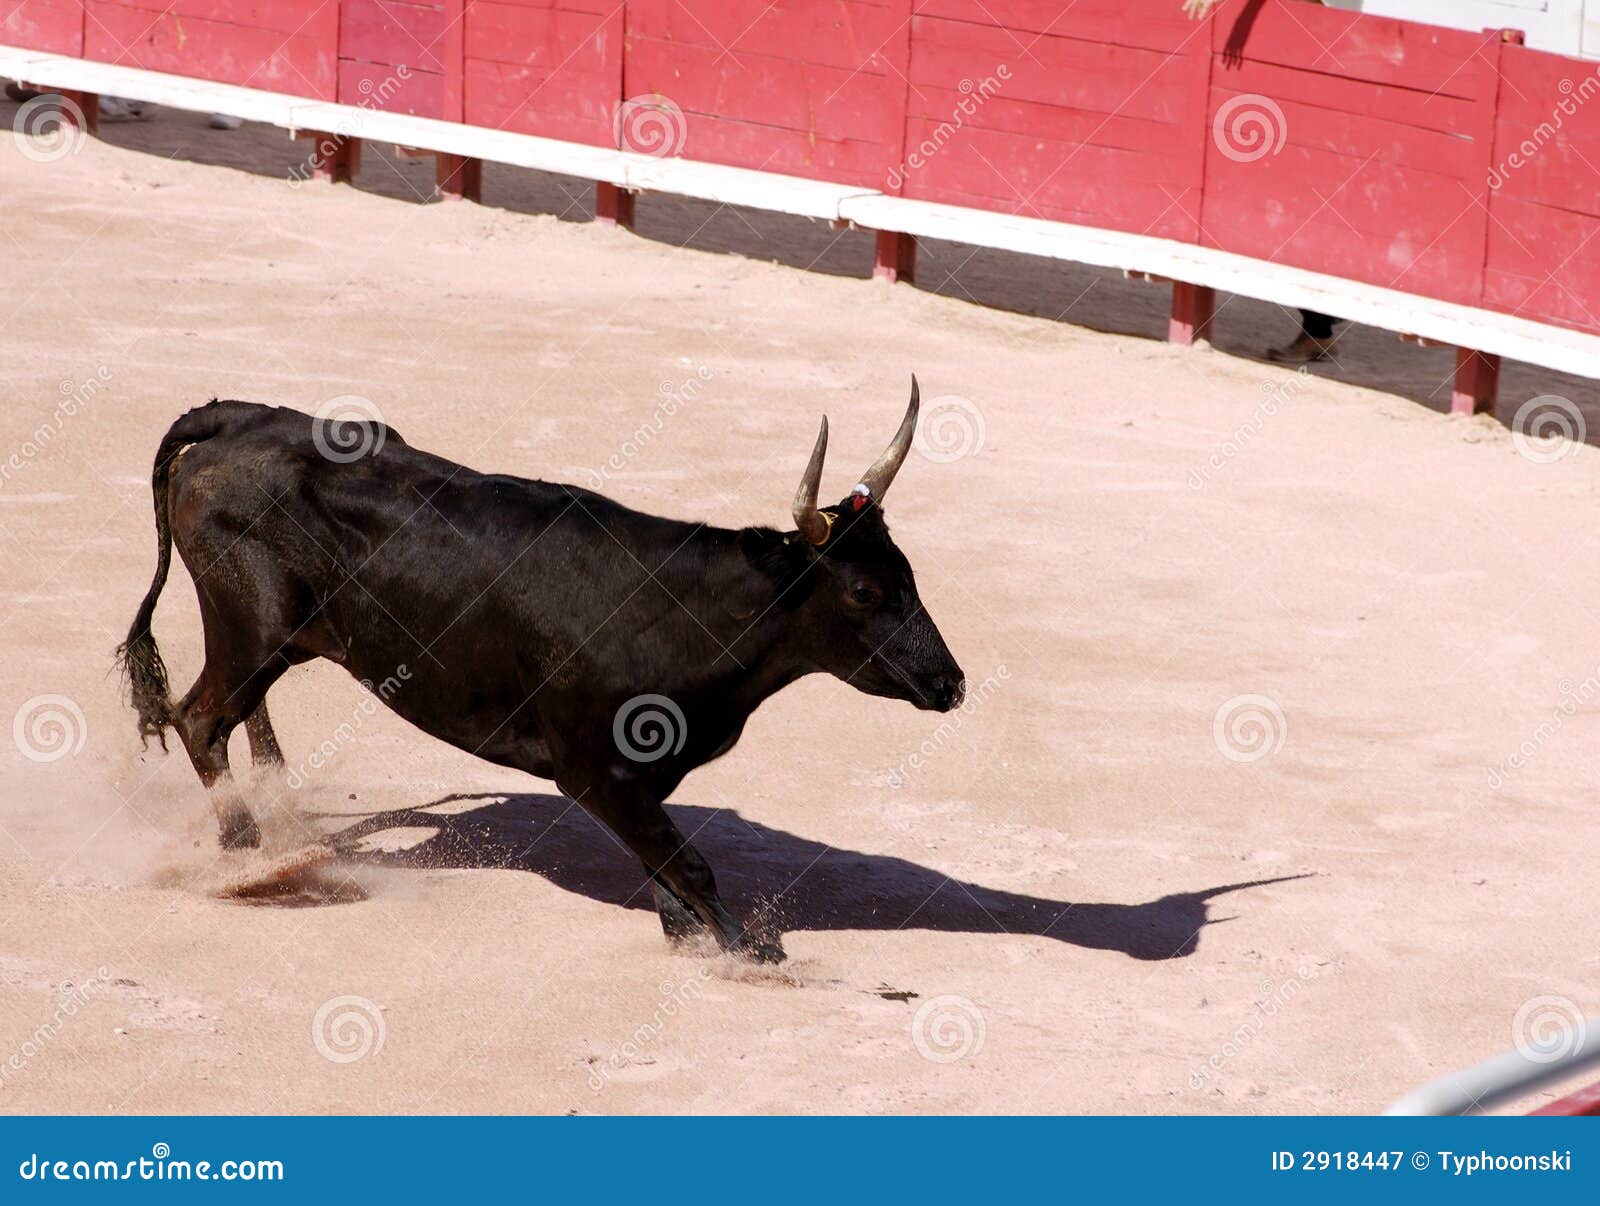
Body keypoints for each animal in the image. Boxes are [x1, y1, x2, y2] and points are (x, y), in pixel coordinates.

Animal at [116, 379, 964, 963]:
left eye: (910, 575)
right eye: (864, 592)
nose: (951, 684)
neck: (692, 616)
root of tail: (239, 418)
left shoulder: (642, 779)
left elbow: (666, 868)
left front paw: (696, 941)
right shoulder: (593, 771)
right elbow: (689, 864)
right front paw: (752, 954)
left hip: (269, 638)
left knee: (238, 714)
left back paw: (280, 826)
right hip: (252, 629)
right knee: (202, 719)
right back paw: (248, 859)